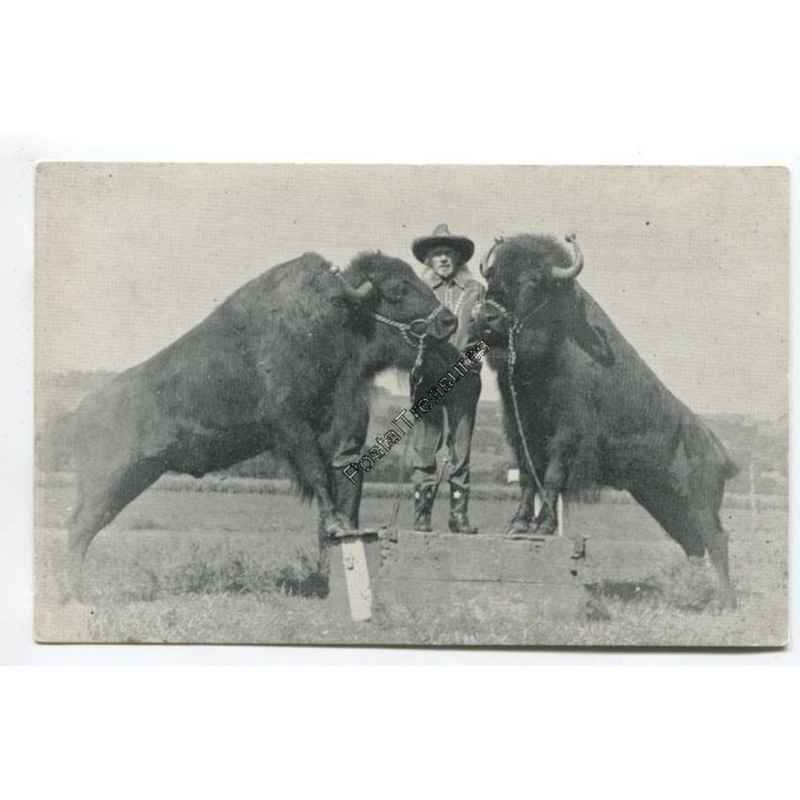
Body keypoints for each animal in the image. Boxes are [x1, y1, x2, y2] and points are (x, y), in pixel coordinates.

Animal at [42, 251, 457, 595]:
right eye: (397, 288)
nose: (449, 321)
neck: (332, 320)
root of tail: (79, 412)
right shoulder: (291, 429)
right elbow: (319, 482)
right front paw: (336, 532)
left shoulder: (343, 441)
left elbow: (342, 499)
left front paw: (334, 566)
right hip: (110, 481)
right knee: (79, 527)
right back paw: (76, 596)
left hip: (136, 477)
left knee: (85, 527)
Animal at [472, 233, 739, 607]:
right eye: (492, 278)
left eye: (533, 280)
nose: (488, 318)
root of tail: (721, 452)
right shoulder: (520, 427)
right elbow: (527, 475)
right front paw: (518, 525)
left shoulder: (566, 434)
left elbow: (551, 477)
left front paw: (542, 526)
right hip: (659, 499)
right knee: (691, 543)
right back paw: (691, 594)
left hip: (700, 501)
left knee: (716, 539)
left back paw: (724, 601)